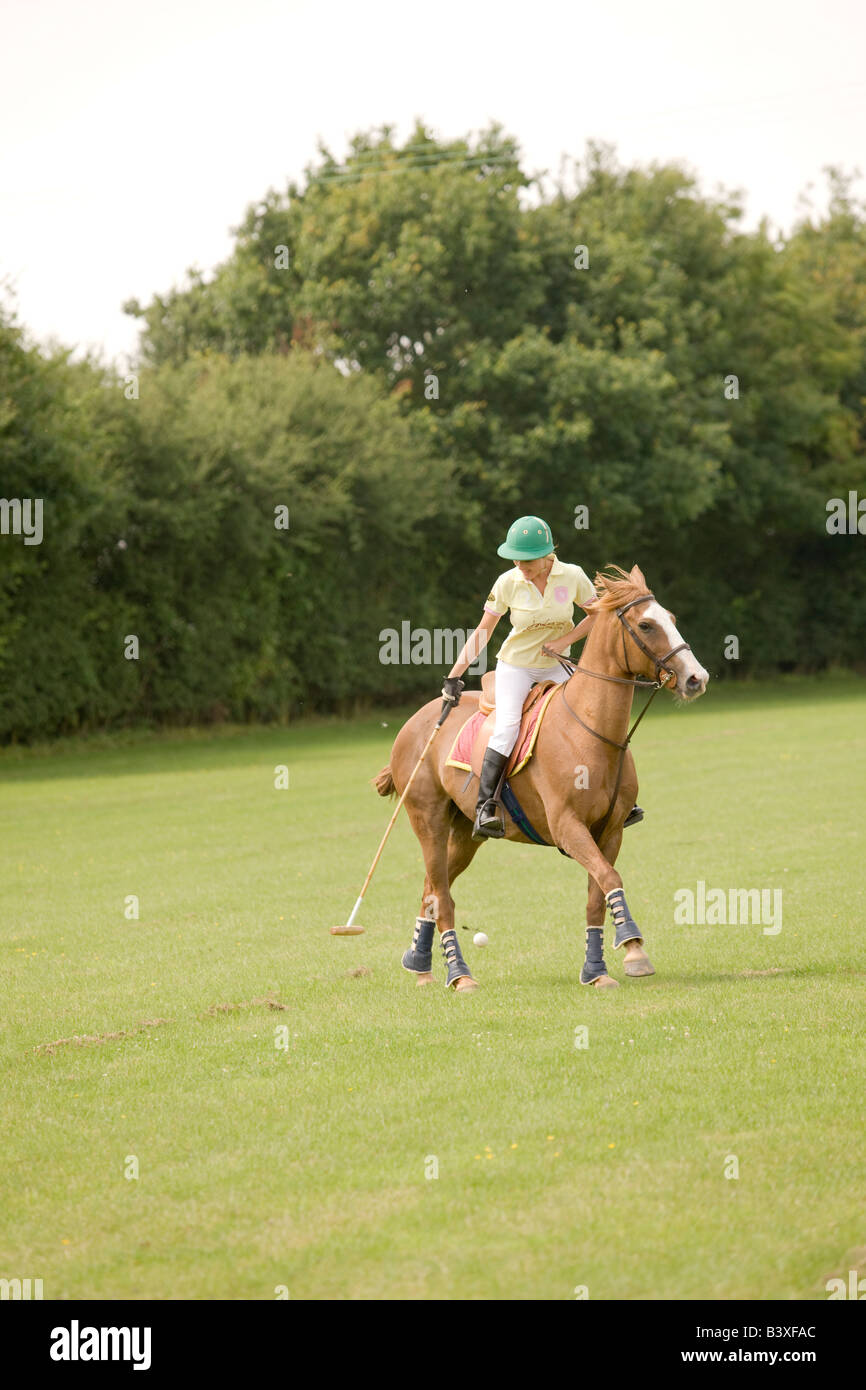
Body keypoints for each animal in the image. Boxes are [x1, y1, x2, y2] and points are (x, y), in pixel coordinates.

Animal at [373, 565, 709, 991]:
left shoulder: (611, 830)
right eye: (646, 625)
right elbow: (609, 876)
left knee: (431, 889)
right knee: (443, 897)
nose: (697, 678)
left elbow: (597, 894)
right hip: (427, 819)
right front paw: (634, 948)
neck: (591, 730)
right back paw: (459, 975)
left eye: (672, 619)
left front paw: (598, 970)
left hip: (464, 833)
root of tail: (416, 720)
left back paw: (419, 964)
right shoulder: (567, 825)